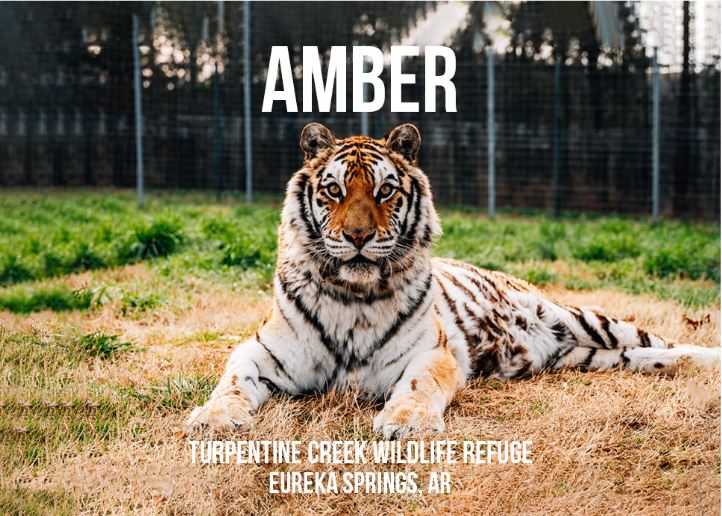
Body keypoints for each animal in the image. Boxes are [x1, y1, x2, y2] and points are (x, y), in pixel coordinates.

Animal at [184, 123, 720, 439]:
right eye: (333, 190)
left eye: (385, 191)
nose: (358, 236)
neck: (352, 297)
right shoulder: (262, 350)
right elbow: (232, 380)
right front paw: (213, 416)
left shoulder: (432, 351)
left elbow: (419, 383)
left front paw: (405, 422)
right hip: (590, 357)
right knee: (644, 357)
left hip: (583, 318)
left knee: (662, 342)